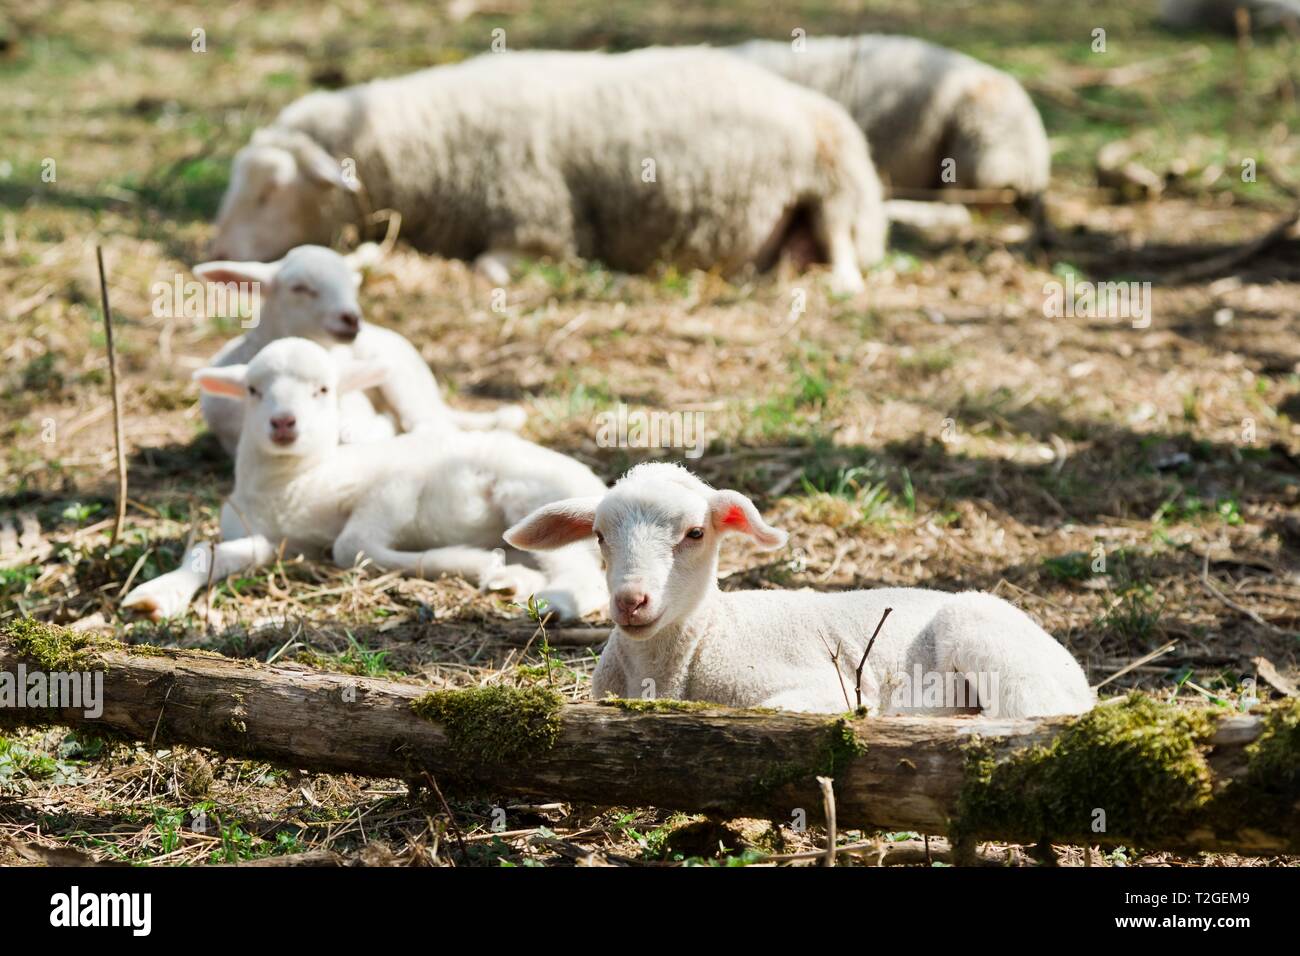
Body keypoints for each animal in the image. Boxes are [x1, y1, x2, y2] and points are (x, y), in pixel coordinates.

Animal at [121, 337, 606, 622]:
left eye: (323, 390)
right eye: (254, 391)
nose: (283, 423)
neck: (291, 484)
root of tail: (600, 488)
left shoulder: (395, 488)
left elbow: (350, 546)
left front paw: (468, 561)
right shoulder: (278, 542)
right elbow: (210, 552)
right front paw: (155, 595)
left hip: (531, 497)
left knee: (585, 572)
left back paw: (557, 601)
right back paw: (515, 583)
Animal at [208, 47, 887, 294]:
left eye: (270, 190)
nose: (213, 251)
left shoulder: (538, 226)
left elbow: (490, 269)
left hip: (835, 191)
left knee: (847, 258)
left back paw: (835, 283)